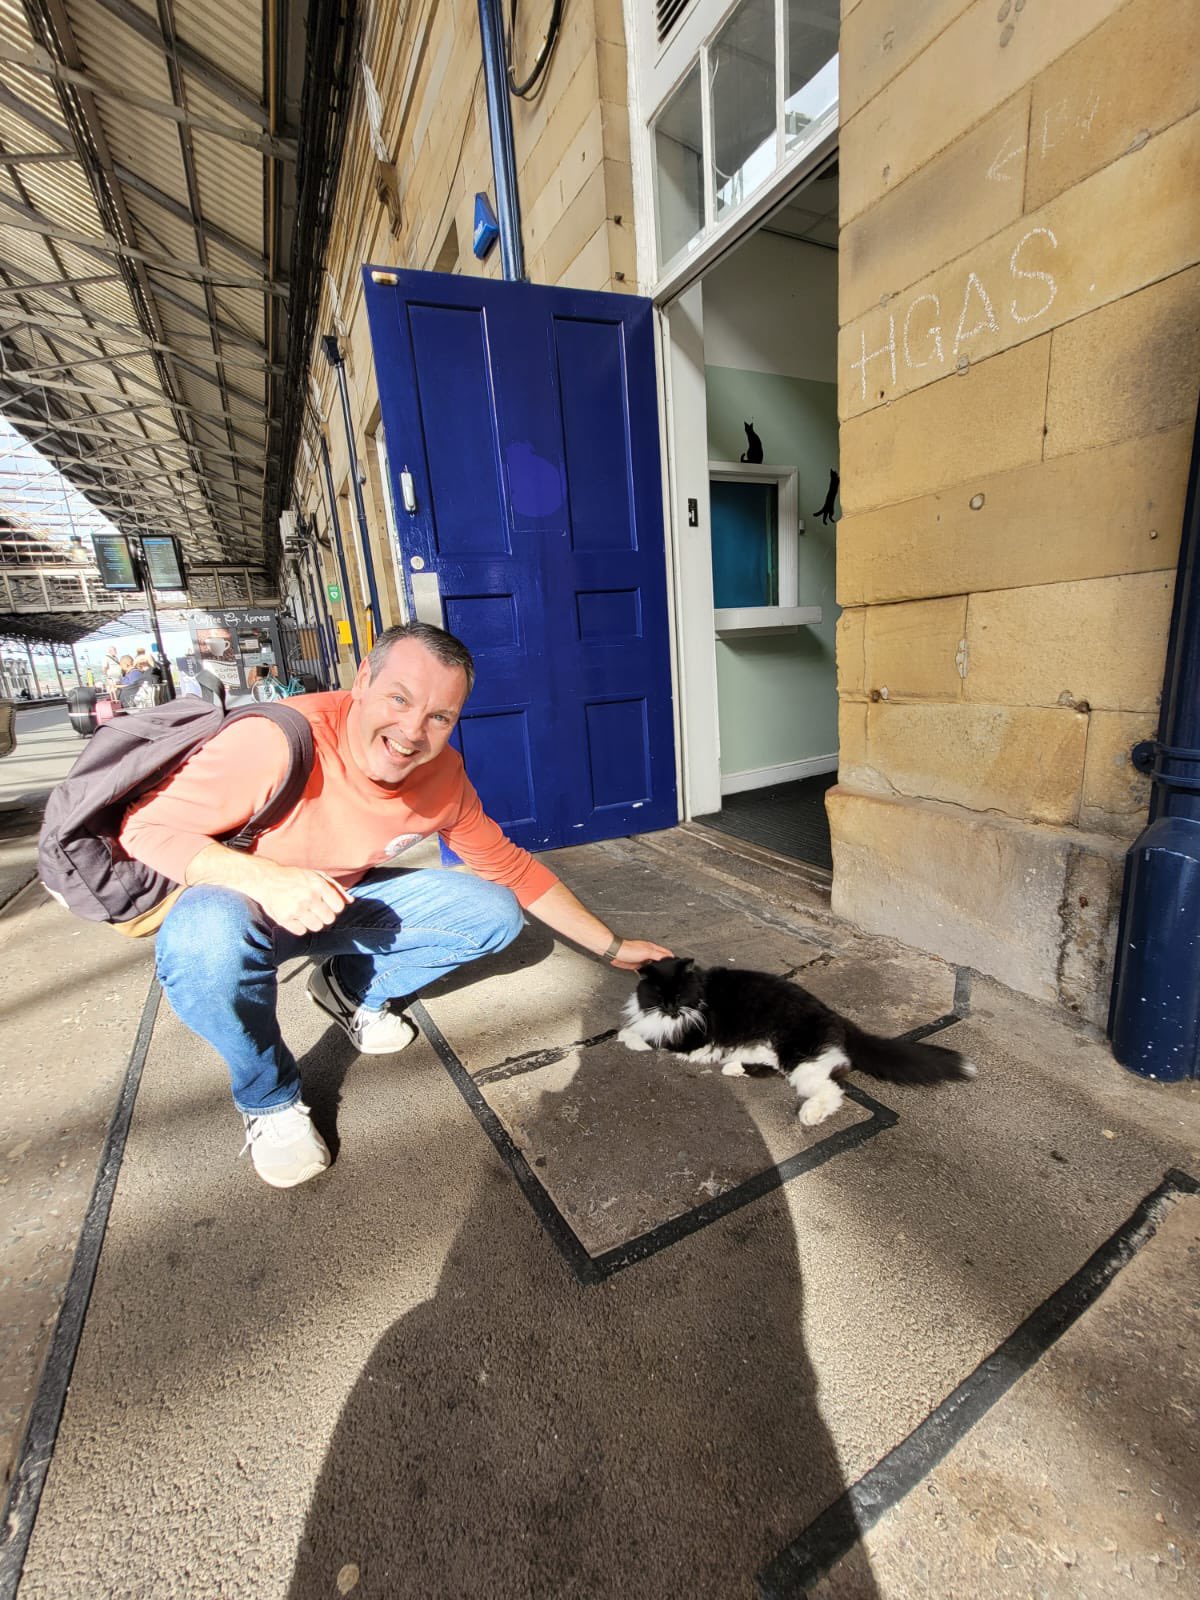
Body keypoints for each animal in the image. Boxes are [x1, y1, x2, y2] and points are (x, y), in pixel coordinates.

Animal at [620, 960, 979, 1126]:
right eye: (659, 994)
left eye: (679, 995)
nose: (669, 1008)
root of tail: (835, 1015)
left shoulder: (691, 1034)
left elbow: (649, 1037)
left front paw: (629, 1037)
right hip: (775, 1051)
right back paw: (733, 1068)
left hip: (802, 1056)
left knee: (832, 1088)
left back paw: (811, 1114)